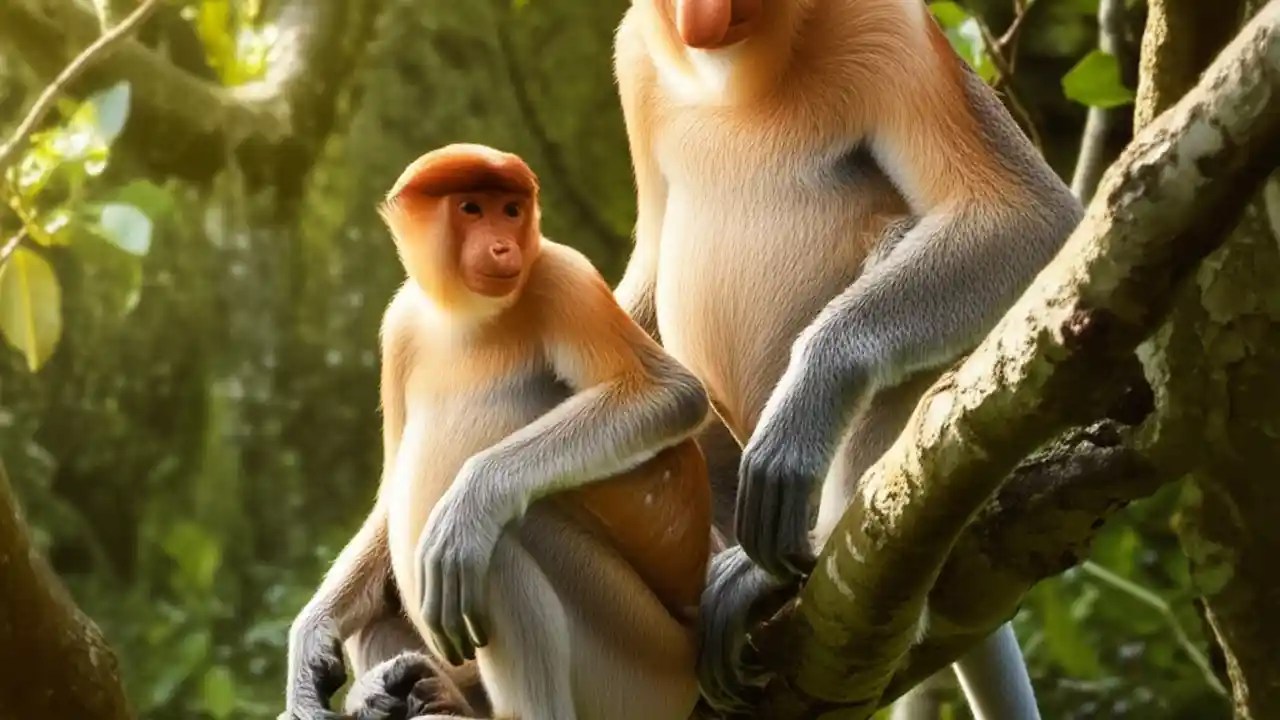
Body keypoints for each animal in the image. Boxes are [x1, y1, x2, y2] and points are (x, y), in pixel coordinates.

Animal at [278, 143, 717, 720]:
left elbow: (669, 392)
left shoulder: (562, 276)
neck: (465, 315)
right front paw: (310, 643)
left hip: (643, 662)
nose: (504, 248)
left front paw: (470, 500)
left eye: (511, 210)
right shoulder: (399, 327)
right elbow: (392, 489)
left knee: (496, 547)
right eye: (471, 208)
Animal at [611, 0, 1083, 717]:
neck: (736, 82)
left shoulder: (891, 30)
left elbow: (1025, 215)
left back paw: (791, 563)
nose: (700, 21)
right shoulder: (637, 59)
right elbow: (645, 270)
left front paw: (800, 415)